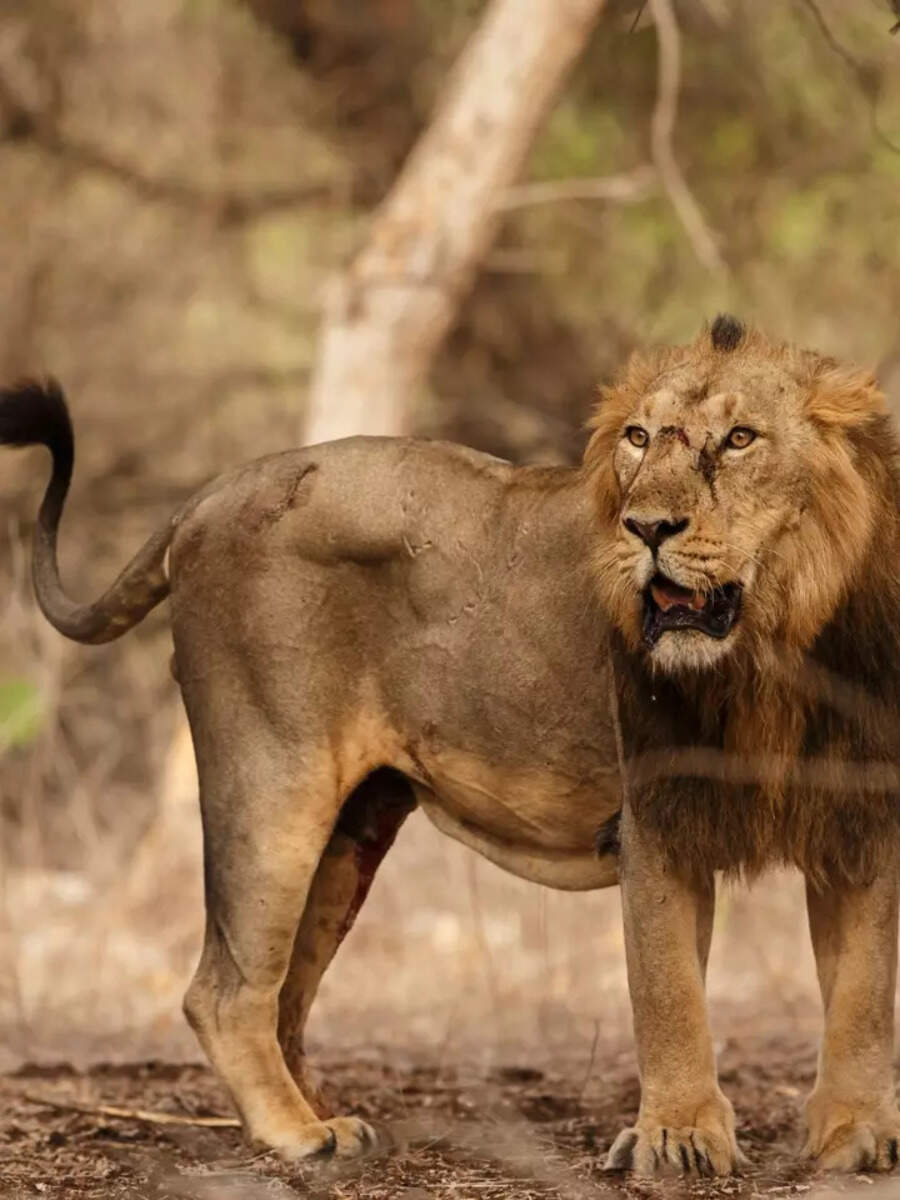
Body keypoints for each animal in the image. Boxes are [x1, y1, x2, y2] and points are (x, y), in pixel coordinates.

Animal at [2, 315, 899, 1176]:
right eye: (639, 437)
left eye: (741, 438)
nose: (646, 527)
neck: (776, 649)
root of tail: (208, 496)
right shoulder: (655, 818)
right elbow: (670, 993)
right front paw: (678, 1139)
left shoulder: (863, 825)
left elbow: (861, 995)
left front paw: (855, 1135)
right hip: (273, 784)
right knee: (223, 991)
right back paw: (299, 1136)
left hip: (353, 833)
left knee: (286, 994)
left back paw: (326, 1116)